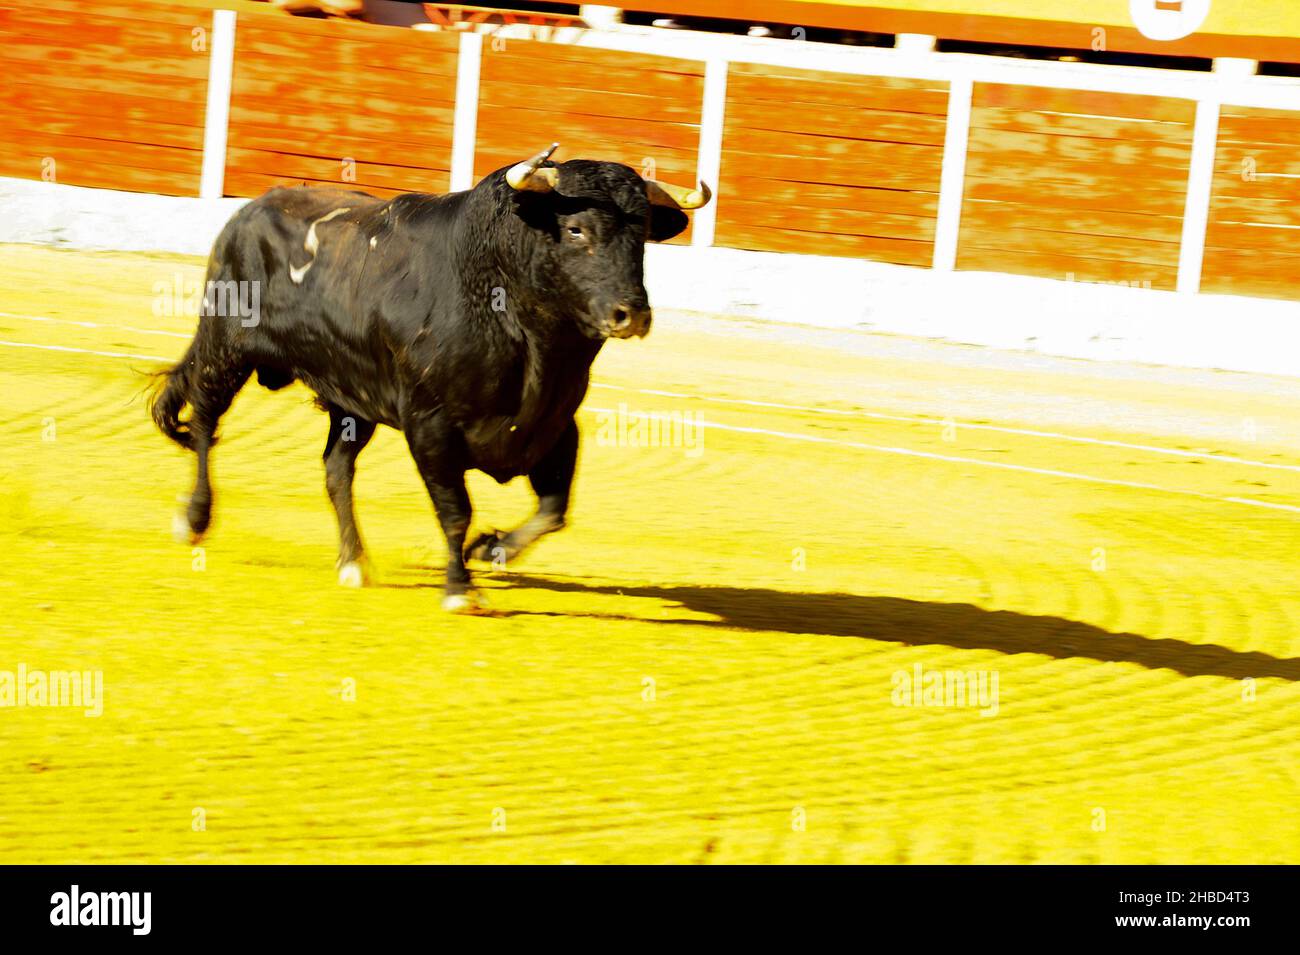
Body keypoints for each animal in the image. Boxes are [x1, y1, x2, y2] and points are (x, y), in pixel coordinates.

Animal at [148, 144, 711, 612]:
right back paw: (193, 519)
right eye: (576, 230)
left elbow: (554, 509)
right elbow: (456, 510)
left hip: (351, 402)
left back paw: (354, 561)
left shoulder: (555, 426)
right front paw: (460, 589)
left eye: (641, 238)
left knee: (336, 470)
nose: (631, 313)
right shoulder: (430, 426)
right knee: (205, 424)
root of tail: (250, 210)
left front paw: (491, 548)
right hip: (225, 347)